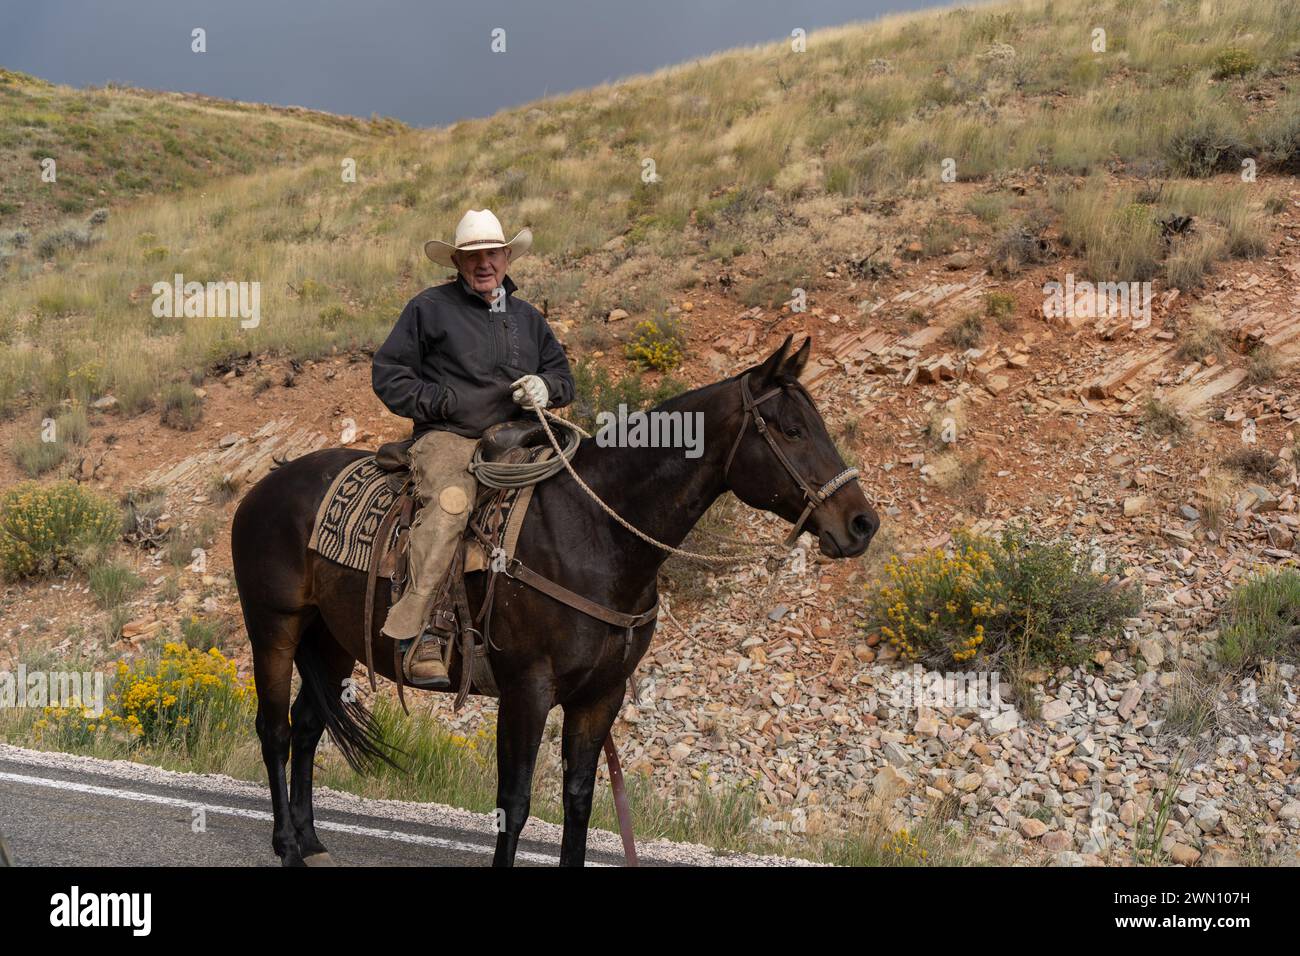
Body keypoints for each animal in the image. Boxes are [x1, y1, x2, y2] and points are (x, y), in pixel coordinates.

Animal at [230, 335, 879, 867]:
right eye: (791, 429)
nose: (861, 524)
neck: (596, 531)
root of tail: (262, 487)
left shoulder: (600, 695)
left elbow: (579, 801)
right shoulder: (527, 689)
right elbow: (514, 802)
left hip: (333, 640)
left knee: (307, 725)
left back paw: (313, 841)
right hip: (275, 628)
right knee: (275, 730)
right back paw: (287, 845)